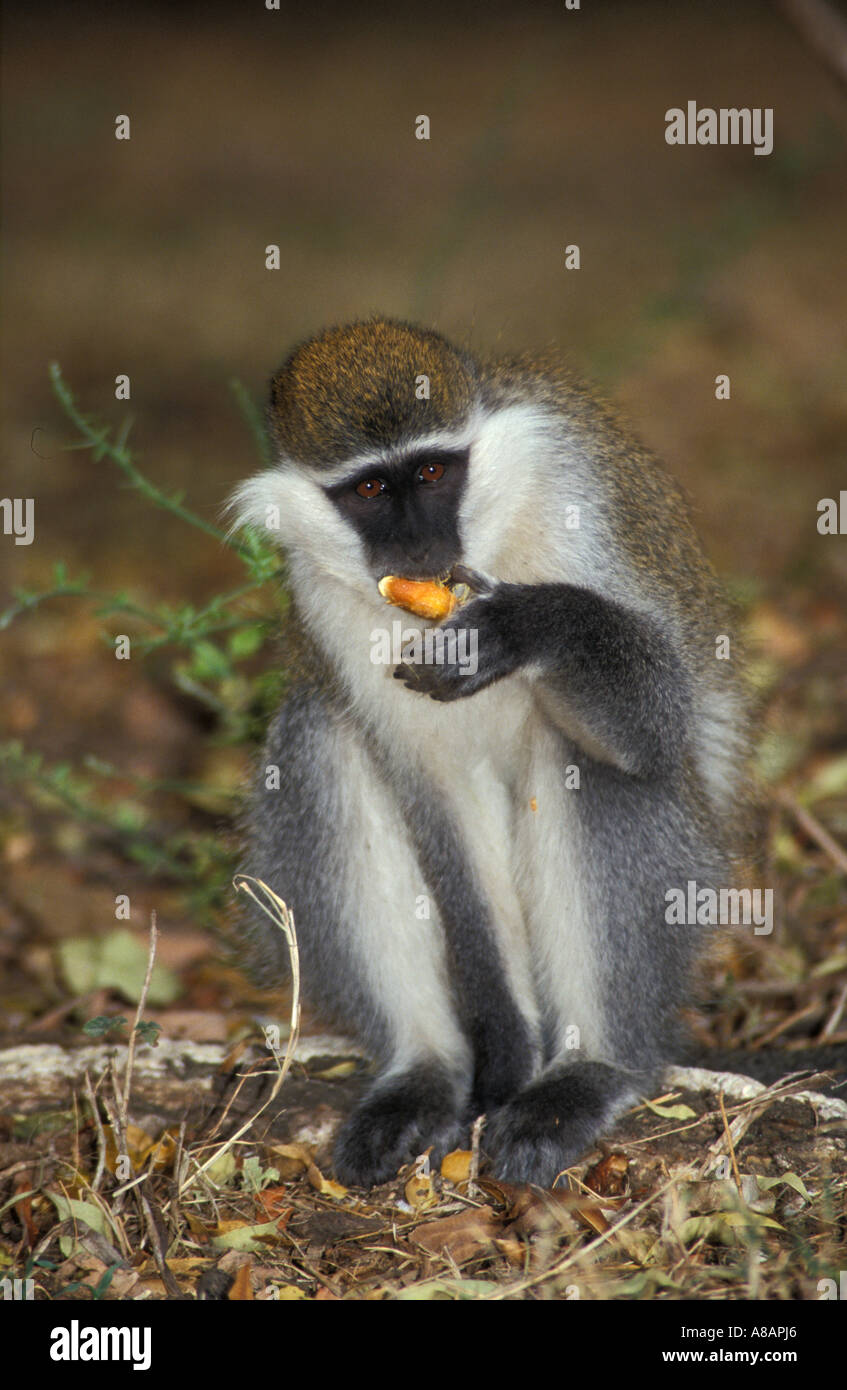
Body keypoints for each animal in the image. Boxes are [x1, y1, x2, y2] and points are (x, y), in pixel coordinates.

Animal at [228, 315, 758, 1188]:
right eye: (368, 491)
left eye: (432, 471)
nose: (418, 547)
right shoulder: (317, 589)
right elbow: (428, 797)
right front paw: (501, 1057)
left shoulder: (579, 495)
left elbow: (658, 726)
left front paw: (527, 625)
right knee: (321, 737)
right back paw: (426, 1070)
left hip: (694, 865)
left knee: (588, 760)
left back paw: (588, 1074)